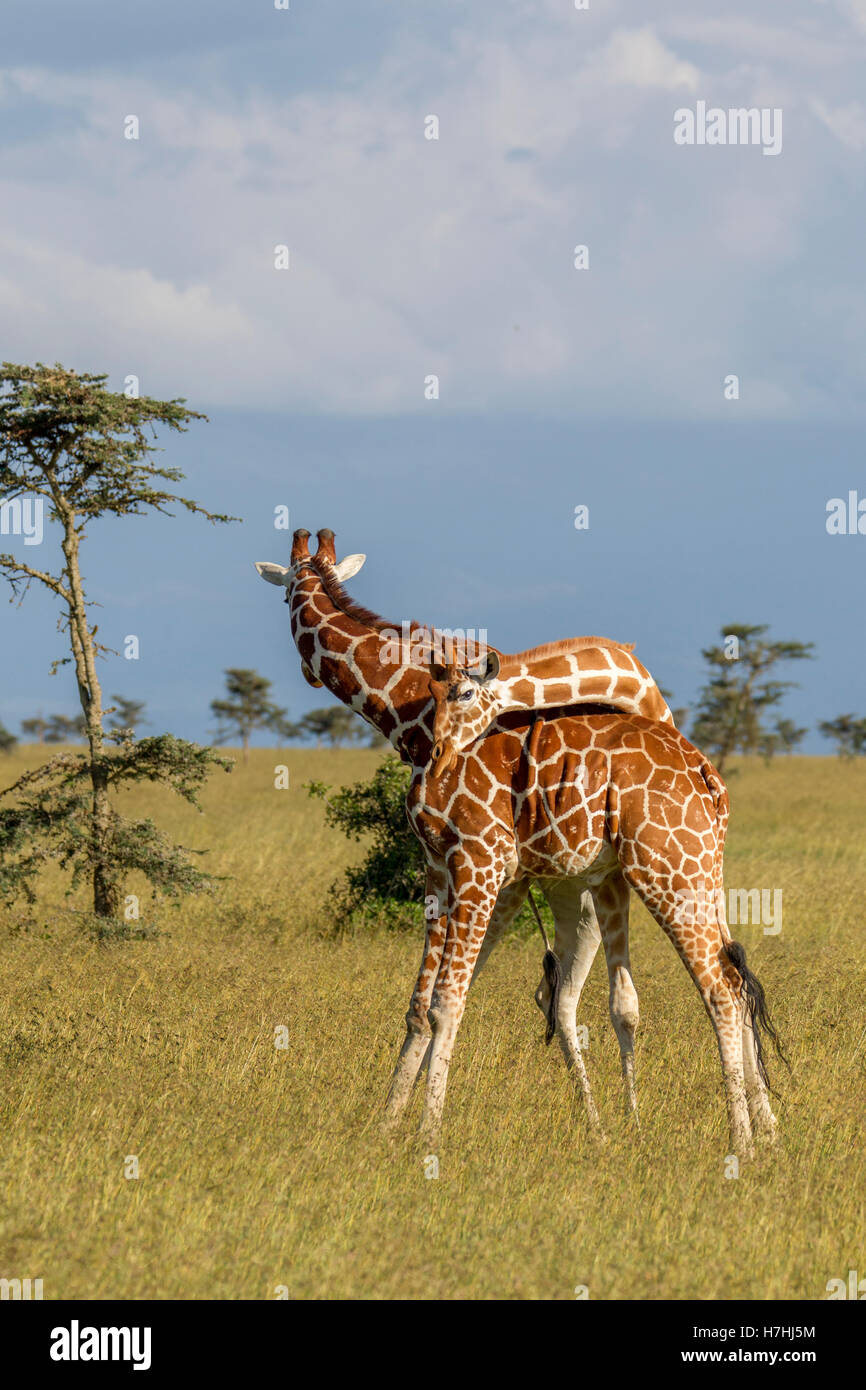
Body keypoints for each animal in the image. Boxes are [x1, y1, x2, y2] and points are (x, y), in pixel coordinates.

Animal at [419, 661, 783, 1156]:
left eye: (465, 694)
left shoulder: (476, 864)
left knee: (720, 990)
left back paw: (740, 1141)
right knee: (736, 977)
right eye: (434, 695)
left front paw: (421, 1131)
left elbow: (445, 999)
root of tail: (709, 775)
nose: (437, 755)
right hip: (703, 872)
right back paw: (767, 1133)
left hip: (667, 871)